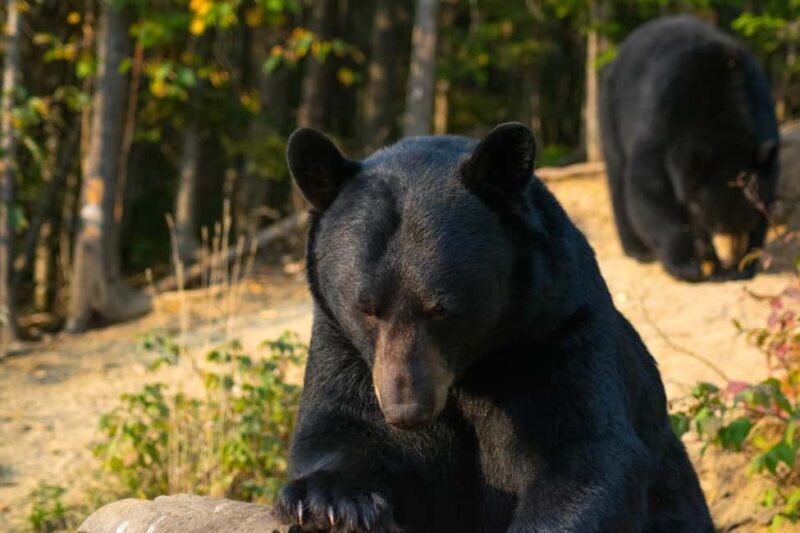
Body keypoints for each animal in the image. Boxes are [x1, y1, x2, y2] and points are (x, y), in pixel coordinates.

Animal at [275, 123, 713, 532]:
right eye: (366, 308)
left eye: (441, 310)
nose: (406, 409)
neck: (472, 370)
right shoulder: (341, 344)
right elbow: (339, 426)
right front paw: (329, 502)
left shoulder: (558, 332)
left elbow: (585, 451)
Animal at [598, 15, 779, 282]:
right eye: (714, 221)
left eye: (745, 221)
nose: (730, 260)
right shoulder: (661, 123)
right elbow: (649, 194)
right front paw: (688, 265)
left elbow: (765, 207)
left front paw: (745, 264)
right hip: (611, 112)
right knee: (618, 178)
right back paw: (638, 251)